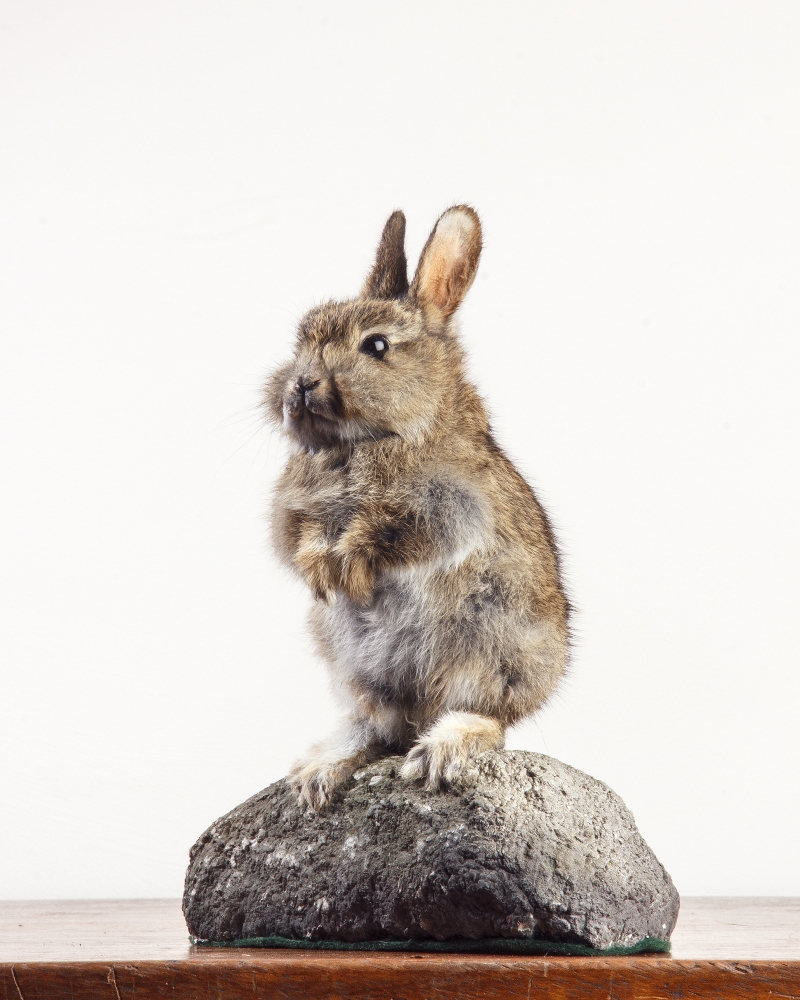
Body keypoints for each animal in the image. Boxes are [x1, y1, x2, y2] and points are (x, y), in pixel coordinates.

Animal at [265, 206, 570, 811]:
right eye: (302, 338)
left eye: (377, 347)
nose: (302, 385)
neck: (363, 442)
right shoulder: (294, 515)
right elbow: (303, 540)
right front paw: (323, 573)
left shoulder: (442, 508)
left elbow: (383, 533)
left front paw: (350, 570)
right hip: (356, 666)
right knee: (377, 725)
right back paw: (318, 772)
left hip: (490, 650)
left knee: (485, 718)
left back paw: (440, 752)